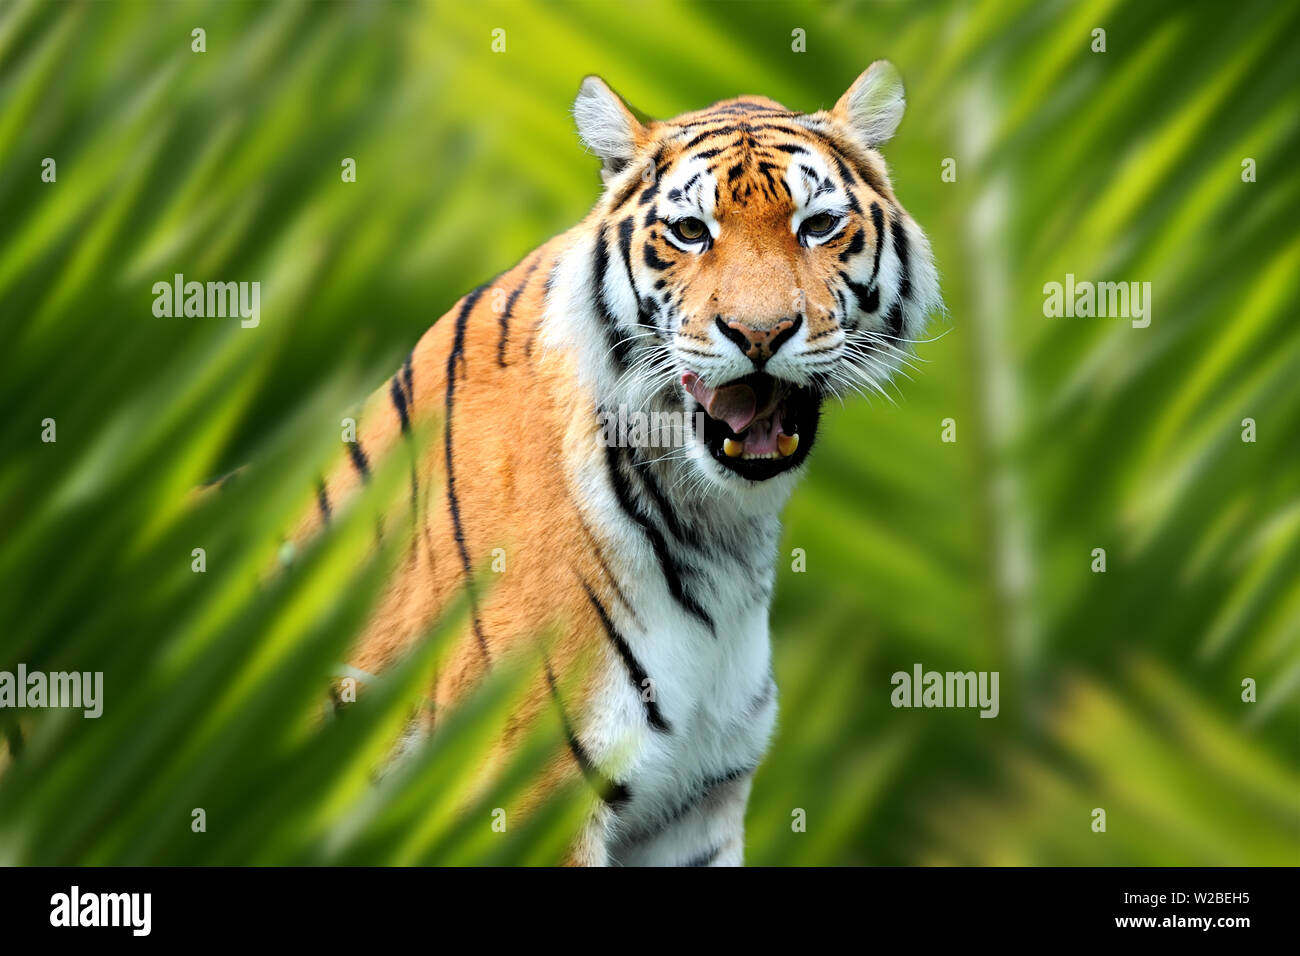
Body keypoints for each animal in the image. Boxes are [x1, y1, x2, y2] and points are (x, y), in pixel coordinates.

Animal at [290, 61, 941, 866]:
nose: (760, 333)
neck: (720, 531)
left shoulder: (696, 806)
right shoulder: (526, 793)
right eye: (690, 232)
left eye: (817, 225)